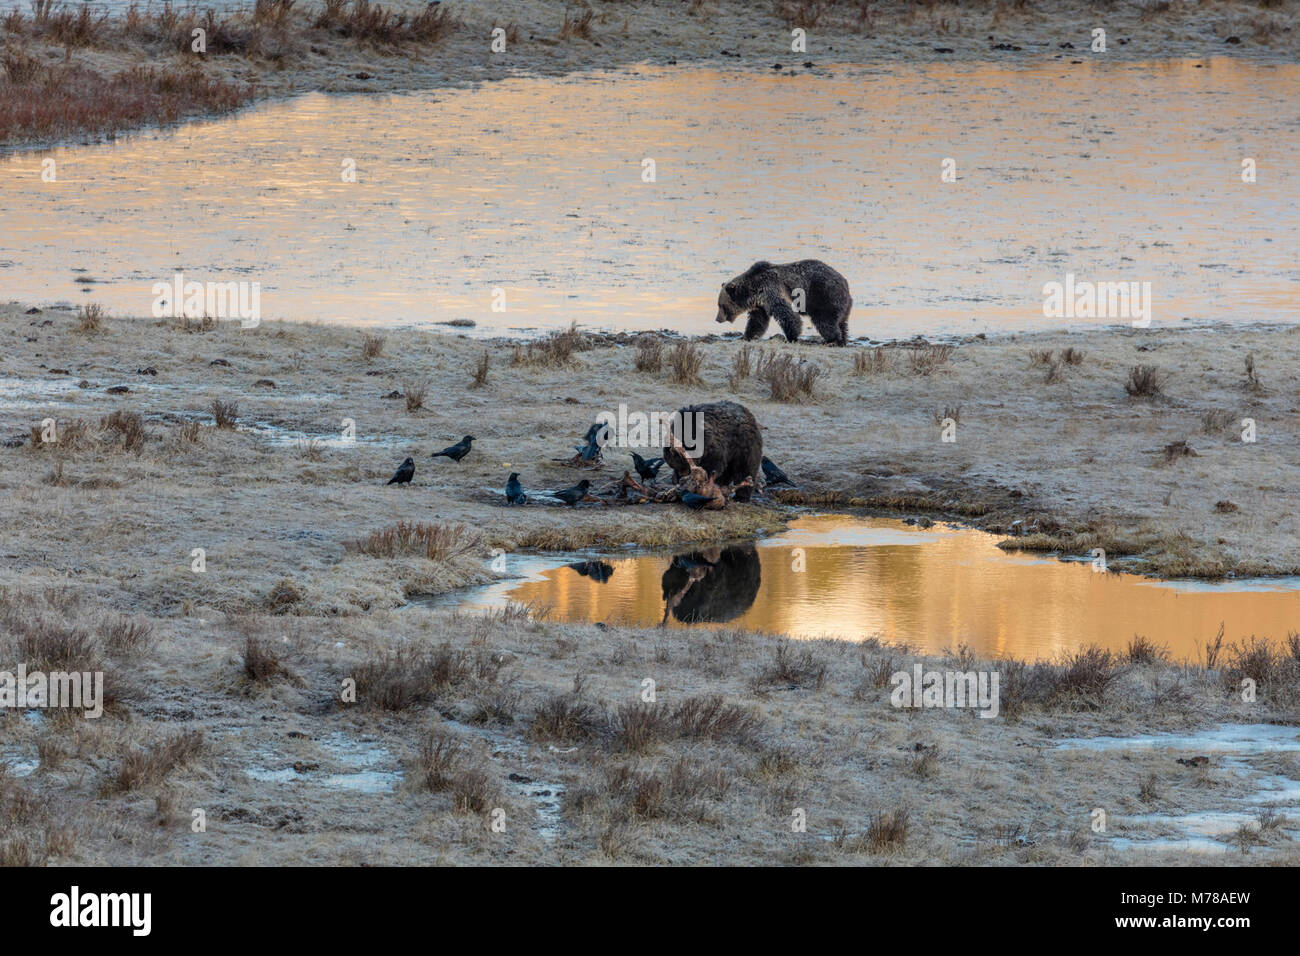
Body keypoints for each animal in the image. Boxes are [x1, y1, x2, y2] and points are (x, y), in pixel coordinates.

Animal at [715, 259, 852, 346]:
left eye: (721, 305)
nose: (717, 319)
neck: (753, 289)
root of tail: (845, 283)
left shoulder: (772, 289)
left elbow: (787, 314)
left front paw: (791, 337)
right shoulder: (761, 305)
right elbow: (757, 321)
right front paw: (747, 336)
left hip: (824, 295)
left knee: (824, 320)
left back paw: (832, 340)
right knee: (841, 322)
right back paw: (843, 339)